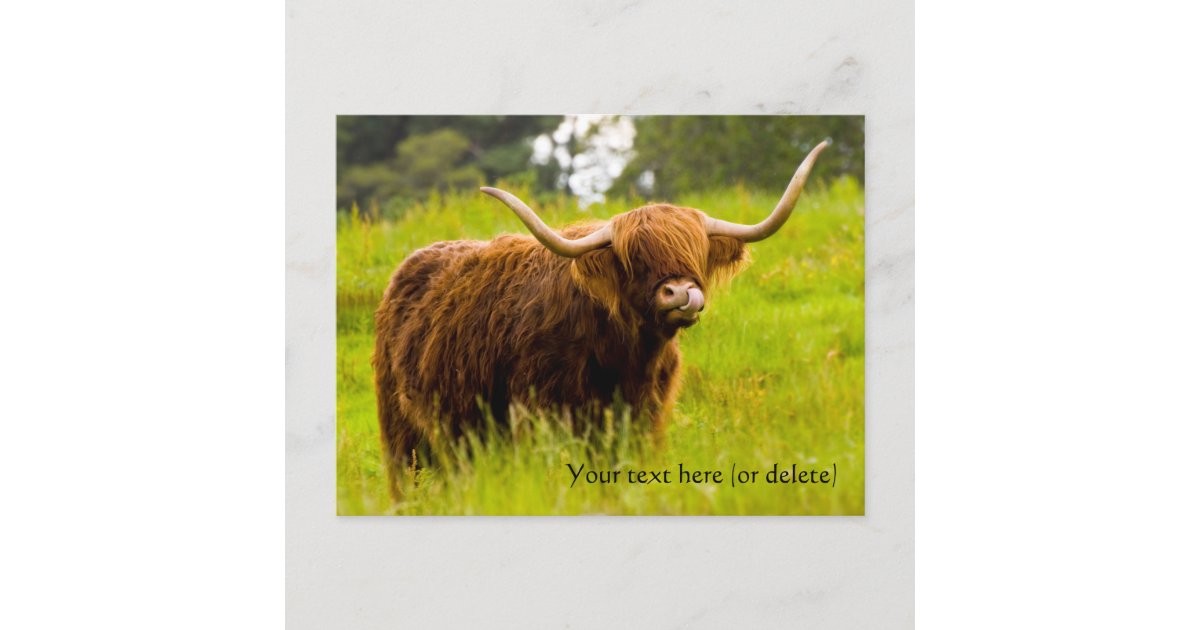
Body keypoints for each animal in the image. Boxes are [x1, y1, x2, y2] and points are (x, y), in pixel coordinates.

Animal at [372, 141, 830, 497]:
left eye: (695, 252)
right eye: (634, 258)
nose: (681, 292)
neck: (625, 353)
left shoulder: (644, 417)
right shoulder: (540, 414)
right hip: (403, 435)